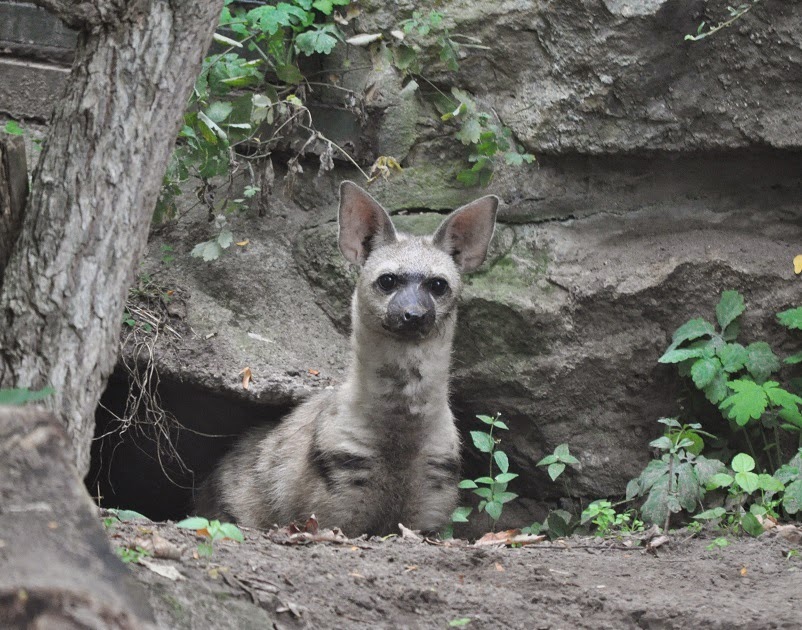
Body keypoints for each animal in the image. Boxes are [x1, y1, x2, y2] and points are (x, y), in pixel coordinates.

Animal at [196, 181, 498, 536]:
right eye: (388, 280)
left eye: (438, 285)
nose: (414, 314)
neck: (401, 433)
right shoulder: (336, 494)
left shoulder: (433, 495)